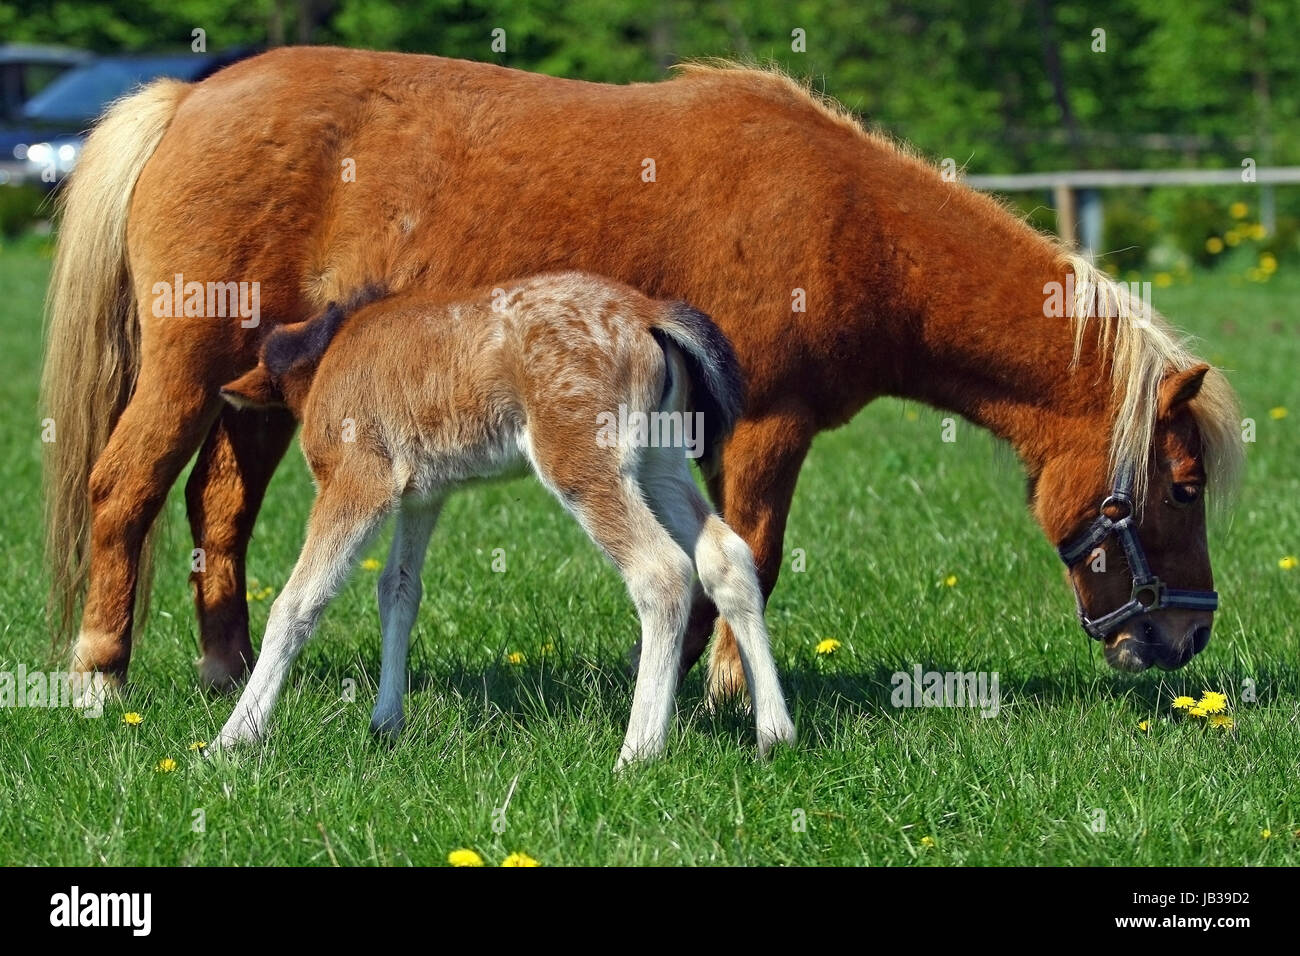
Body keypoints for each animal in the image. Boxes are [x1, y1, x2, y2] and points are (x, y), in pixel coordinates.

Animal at [42, 47, 1242, 703]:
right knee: (124, 491)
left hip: (257, 395)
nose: (1182, 636)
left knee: (218, 511)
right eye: (1182, 489)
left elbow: (711, 561)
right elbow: (753, 554)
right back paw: (101, 678)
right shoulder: (766, 431)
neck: (850, 224)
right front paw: (726, 692)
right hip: (188, 375)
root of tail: (186, 100)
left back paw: (229, 671)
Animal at [209, 272, 795, 766]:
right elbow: (398, 589)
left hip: (581, 459)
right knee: (726, 555)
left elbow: (299, 601)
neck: (332, 351)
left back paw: (638, 753)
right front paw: (386, 724)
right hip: (659, 460)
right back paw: (774, 735)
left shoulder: (358, 480)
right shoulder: (423, 497)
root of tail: (648, 312)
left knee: (662, 571)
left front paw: (231, 739)